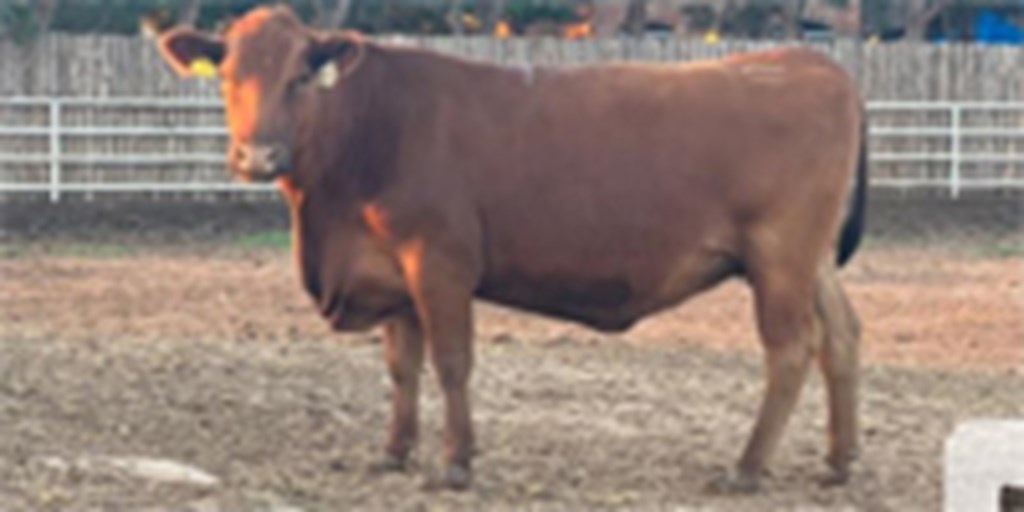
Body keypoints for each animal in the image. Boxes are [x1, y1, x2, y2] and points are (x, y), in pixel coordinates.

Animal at [157, 5, 867, 492]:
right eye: (228, 75)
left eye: (302, 77)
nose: (257, 155)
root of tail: (809, 62)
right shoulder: (391, 275)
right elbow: (402, 367)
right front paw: (394, 452)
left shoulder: (439, 261)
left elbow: (450, 362)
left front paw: (455, 463)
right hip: (812, 263)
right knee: (841, 336)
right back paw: (838, 460)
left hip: (779, 259)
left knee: (789, 352)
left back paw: (746, 468)